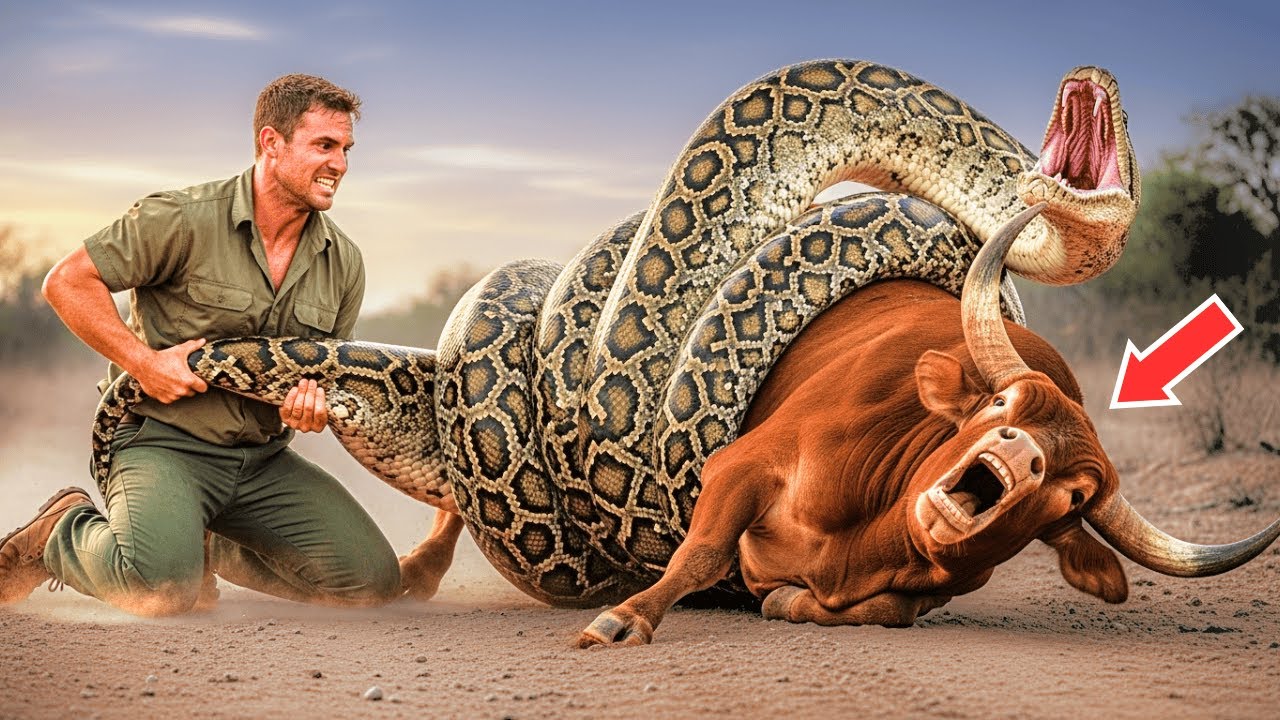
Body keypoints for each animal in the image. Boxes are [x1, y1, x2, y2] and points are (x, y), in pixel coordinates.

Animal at [575, 205, 1280, 647]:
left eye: (1075, 494)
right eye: (1002, 406)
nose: (1019, 453)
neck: (865, 535)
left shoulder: (929, 590)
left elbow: (885, 611)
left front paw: (788, 601)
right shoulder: (741, 463)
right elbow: (699, 554)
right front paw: (623, 620)